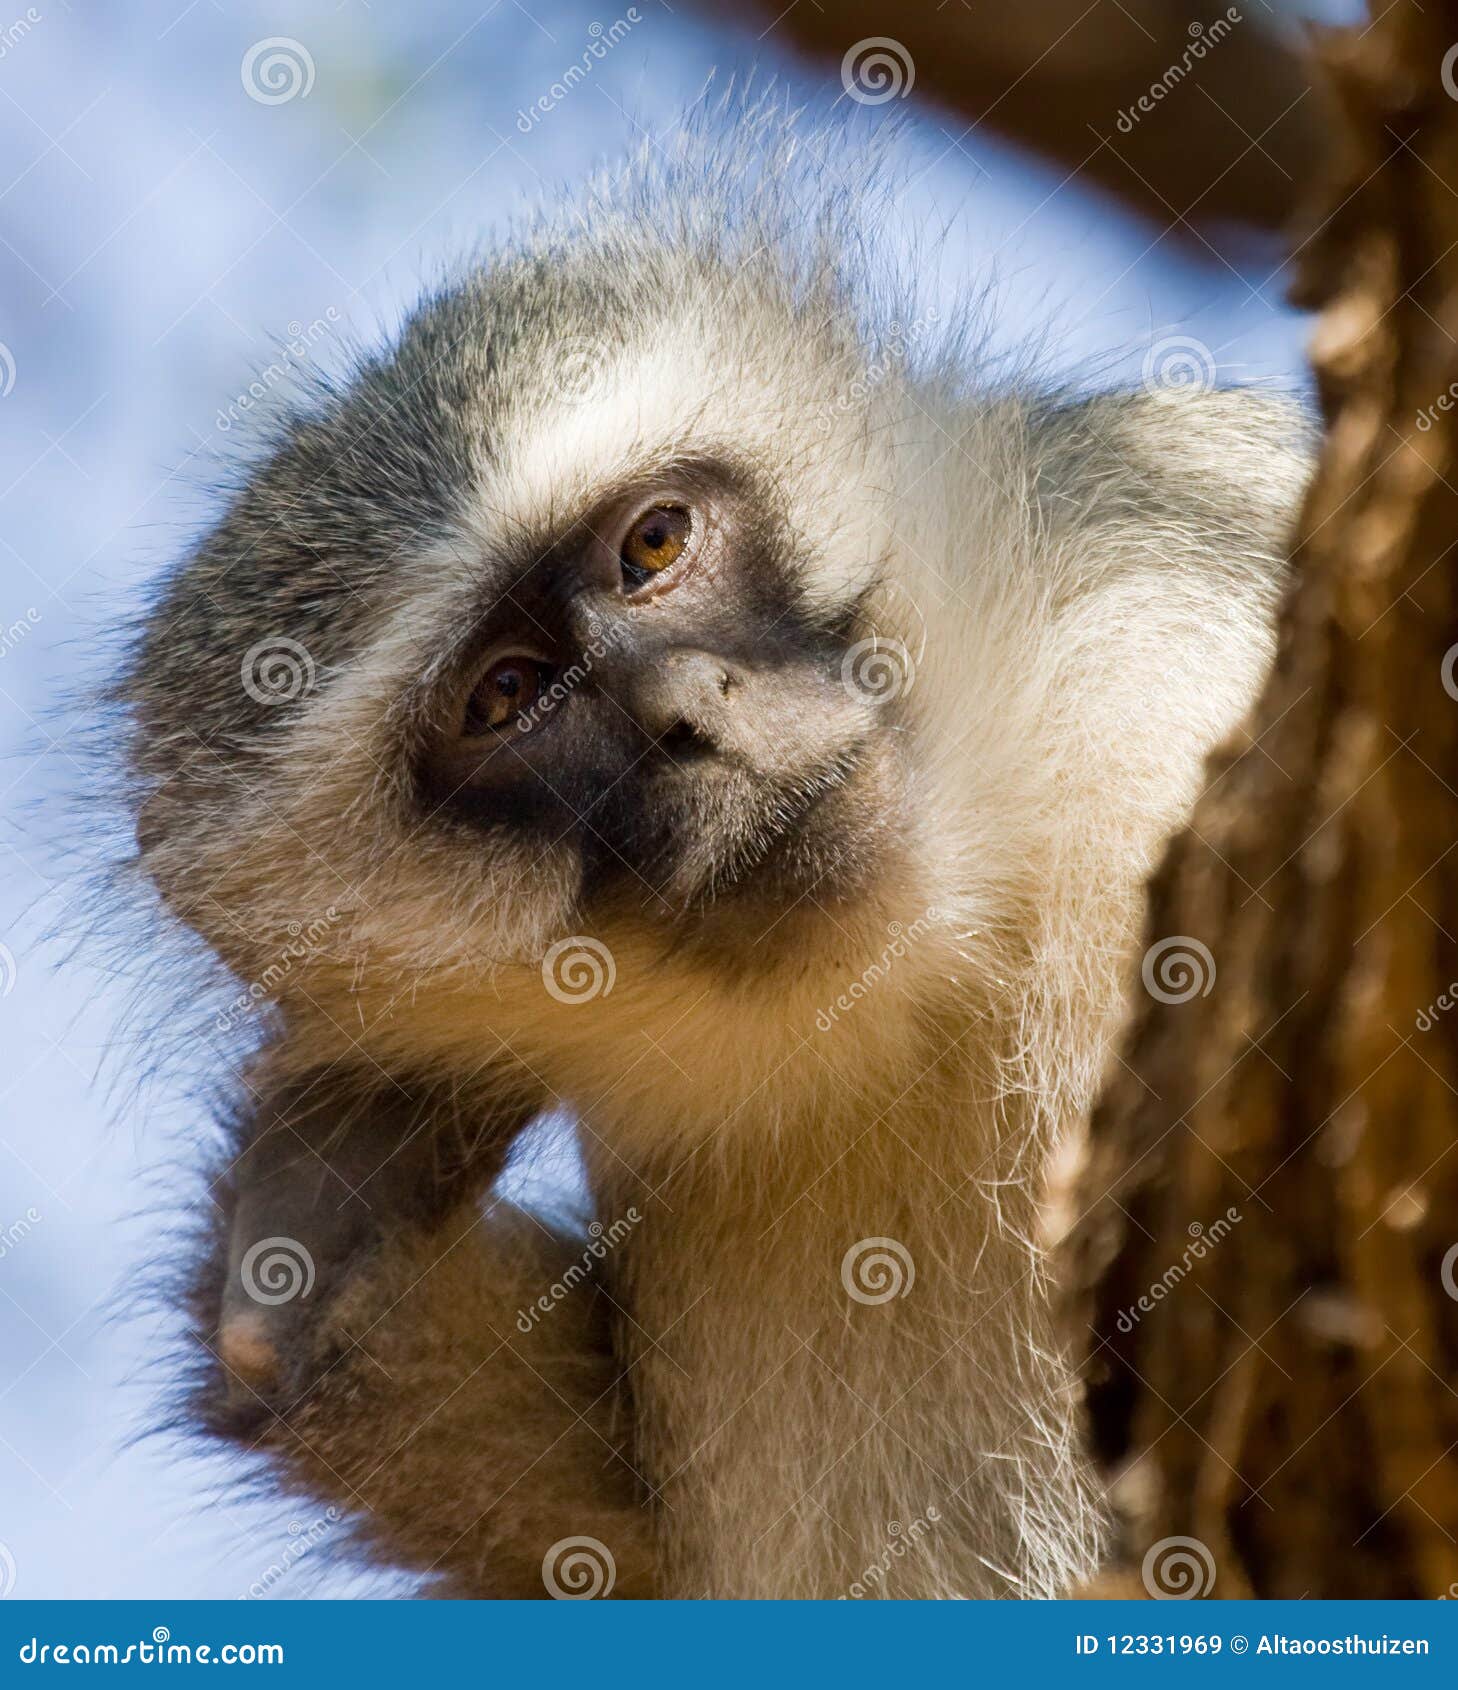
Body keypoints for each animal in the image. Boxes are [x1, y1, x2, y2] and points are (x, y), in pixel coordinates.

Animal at [113, 117, 1310, 1600]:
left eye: (654, 544)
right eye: (506, 695)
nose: (689, 714)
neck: (943, 957)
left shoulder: (1161, 643)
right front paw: (312, 1229)